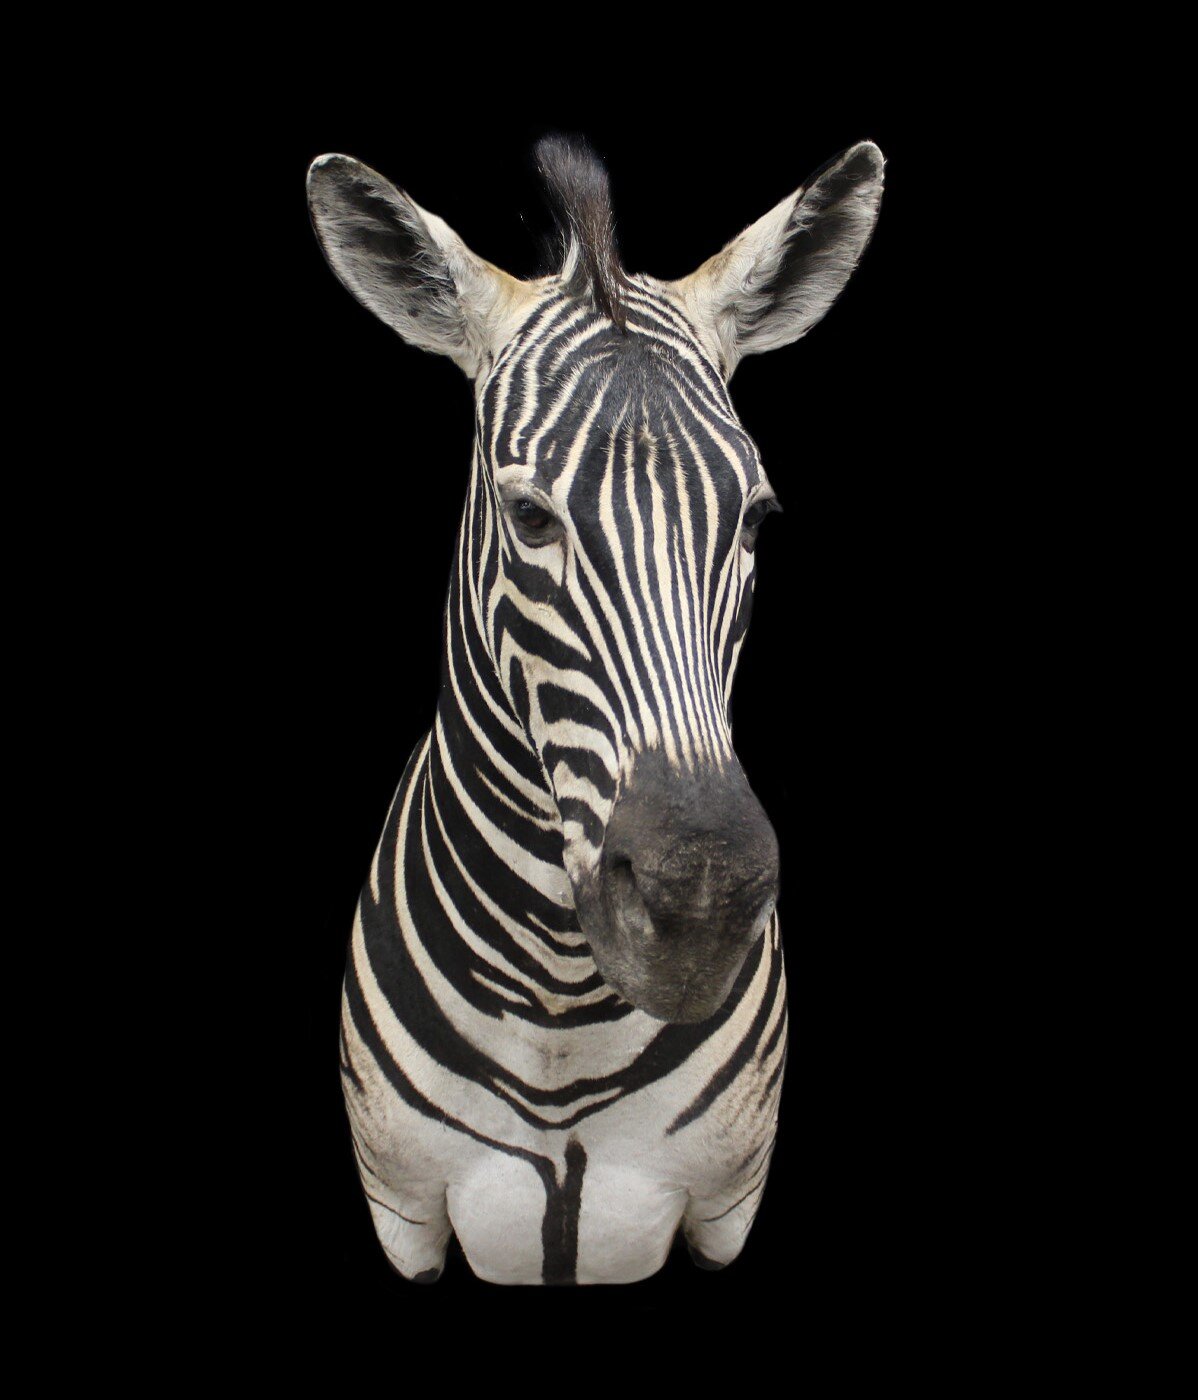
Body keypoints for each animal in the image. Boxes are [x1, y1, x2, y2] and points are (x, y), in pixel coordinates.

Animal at [307, 136, 883, 1286]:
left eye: (756, 518)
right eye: (530, 517)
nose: (698, 905)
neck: (560, 997)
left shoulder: (724, 1209)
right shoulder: (402, 1212)